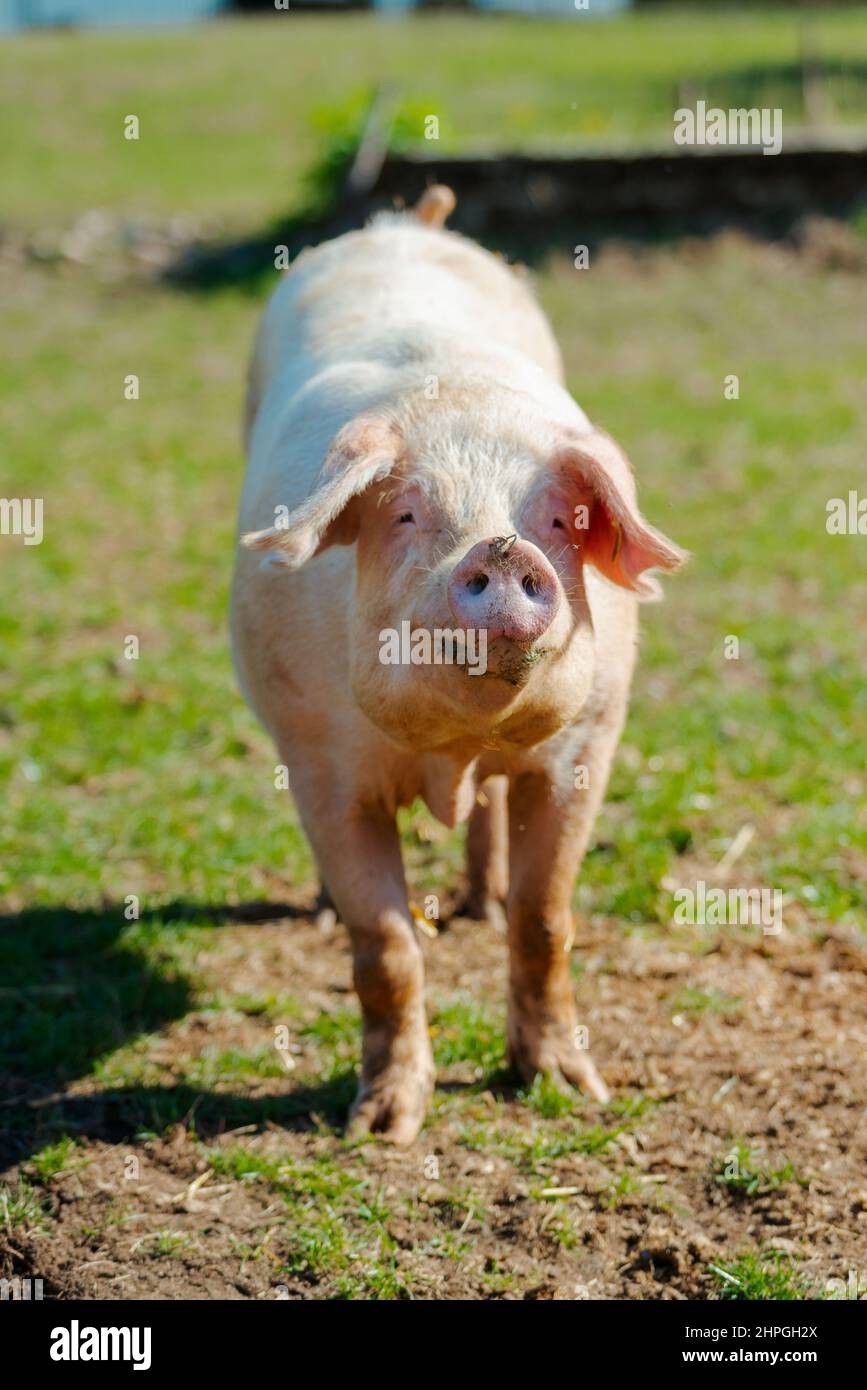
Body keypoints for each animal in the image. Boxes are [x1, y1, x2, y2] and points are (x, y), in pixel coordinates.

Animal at [231, 186, 686, 1144]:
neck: (456, 744)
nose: (502, 547)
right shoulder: (318, 758)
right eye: (405, 515)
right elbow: (384, 946)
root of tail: (407, 226)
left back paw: (482, 901)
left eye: (558, 519)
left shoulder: (590, 741)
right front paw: (381, 1127)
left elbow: (546, 920)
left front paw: (568, 1091)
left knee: (491, 839)